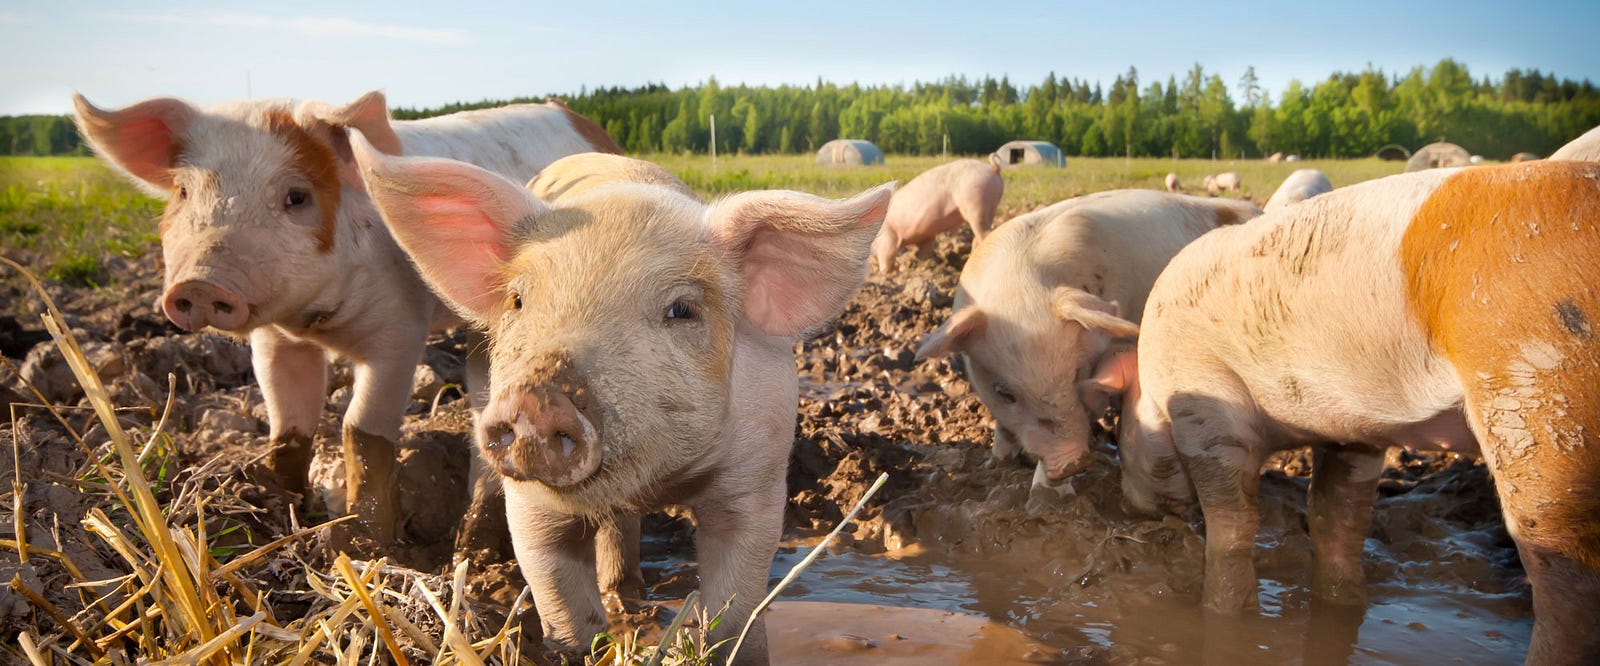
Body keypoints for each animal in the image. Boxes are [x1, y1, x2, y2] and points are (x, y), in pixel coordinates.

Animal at [72, 90, 621, 552]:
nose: (202, 284)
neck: (317, 324)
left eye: (296, 196)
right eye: (184, 192)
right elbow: (287, 425)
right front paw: (282, 512)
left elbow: (362, 429)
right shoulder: (274, 340)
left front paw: (364, 546)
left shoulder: (400, 331)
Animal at [353, 144, 892, 664]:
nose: (536, 400)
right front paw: (578, 647)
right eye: (518, 300)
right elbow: (557, 592)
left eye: (682, 309)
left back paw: (628, 590)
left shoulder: (757, 473)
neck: (658, 480)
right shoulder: (531, 502)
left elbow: (736, 606)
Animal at [871, 155, 1004, 273]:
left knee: (984, 233)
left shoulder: (888, 235)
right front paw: (918, 264)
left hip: (975, 203)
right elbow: (924, 252)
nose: (873, 265)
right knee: (979, 236)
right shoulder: (926, 235)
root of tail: (993, 168)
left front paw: (888, 272)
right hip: (990, 206)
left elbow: (887, 254)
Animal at [1095, 161, 1600, 664]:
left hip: (1538, 394)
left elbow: (1231, 524)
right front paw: (1341, 605)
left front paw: (1223, 616)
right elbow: (1336, 516)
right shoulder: (1352, 431)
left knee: (1564, 572)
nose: (1127, 505)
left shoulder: (1205, 407)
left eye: (1121, 429)